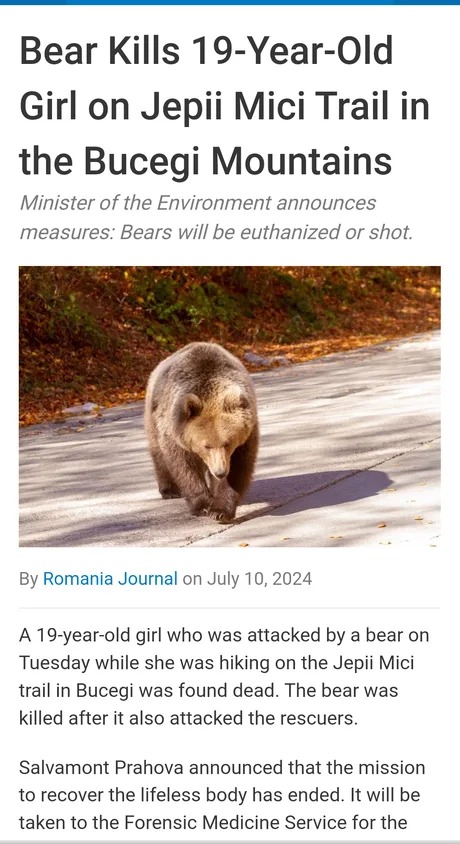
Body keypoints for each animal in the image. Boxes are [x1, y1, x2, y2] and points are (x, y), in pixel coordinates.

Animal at [144, 342, 259, 522]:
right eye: (206, 446)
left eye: (228, 443)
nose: (220, 472)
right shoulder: (175, 433)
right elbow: (184, 467)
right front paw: (203, 506)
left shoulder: (246, 436)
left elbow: (238, 467)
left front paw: (220, 510)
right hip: (153, 417)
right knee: (158, 454)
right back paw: (169, 490)